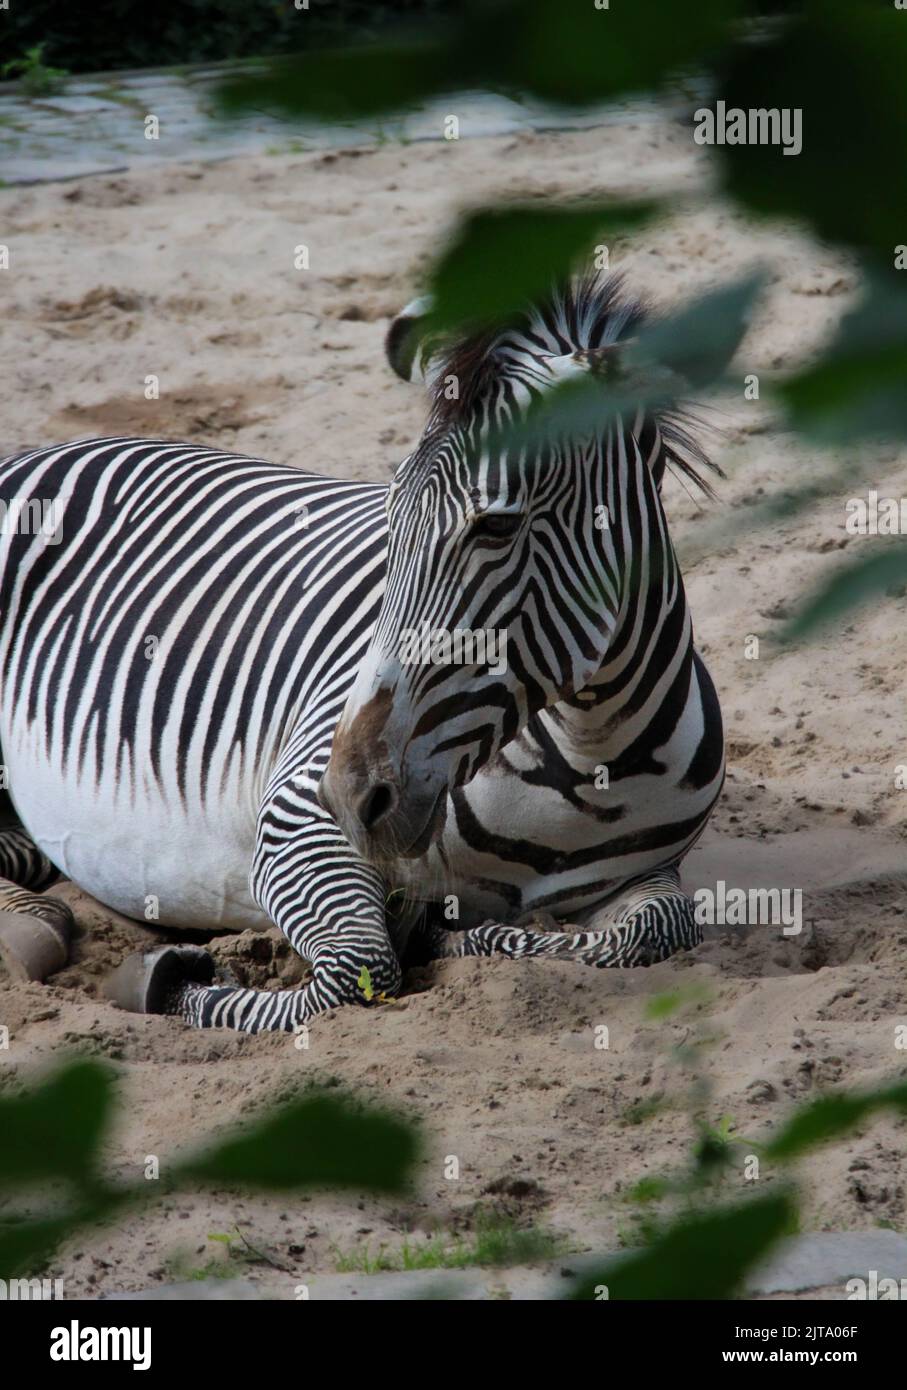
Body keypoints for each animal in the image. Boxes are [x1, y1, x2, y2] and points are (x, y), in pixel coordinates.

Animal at [0, 274, 725, 1031]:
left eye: (496, 525)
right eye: (391, 514)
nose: (350, 793)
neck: (585, 765)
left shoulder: (649, 876)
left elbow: (653, 931)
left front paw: (447, 932)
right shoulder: (295, 815)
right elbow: (358, 969)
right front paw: (164, 979)